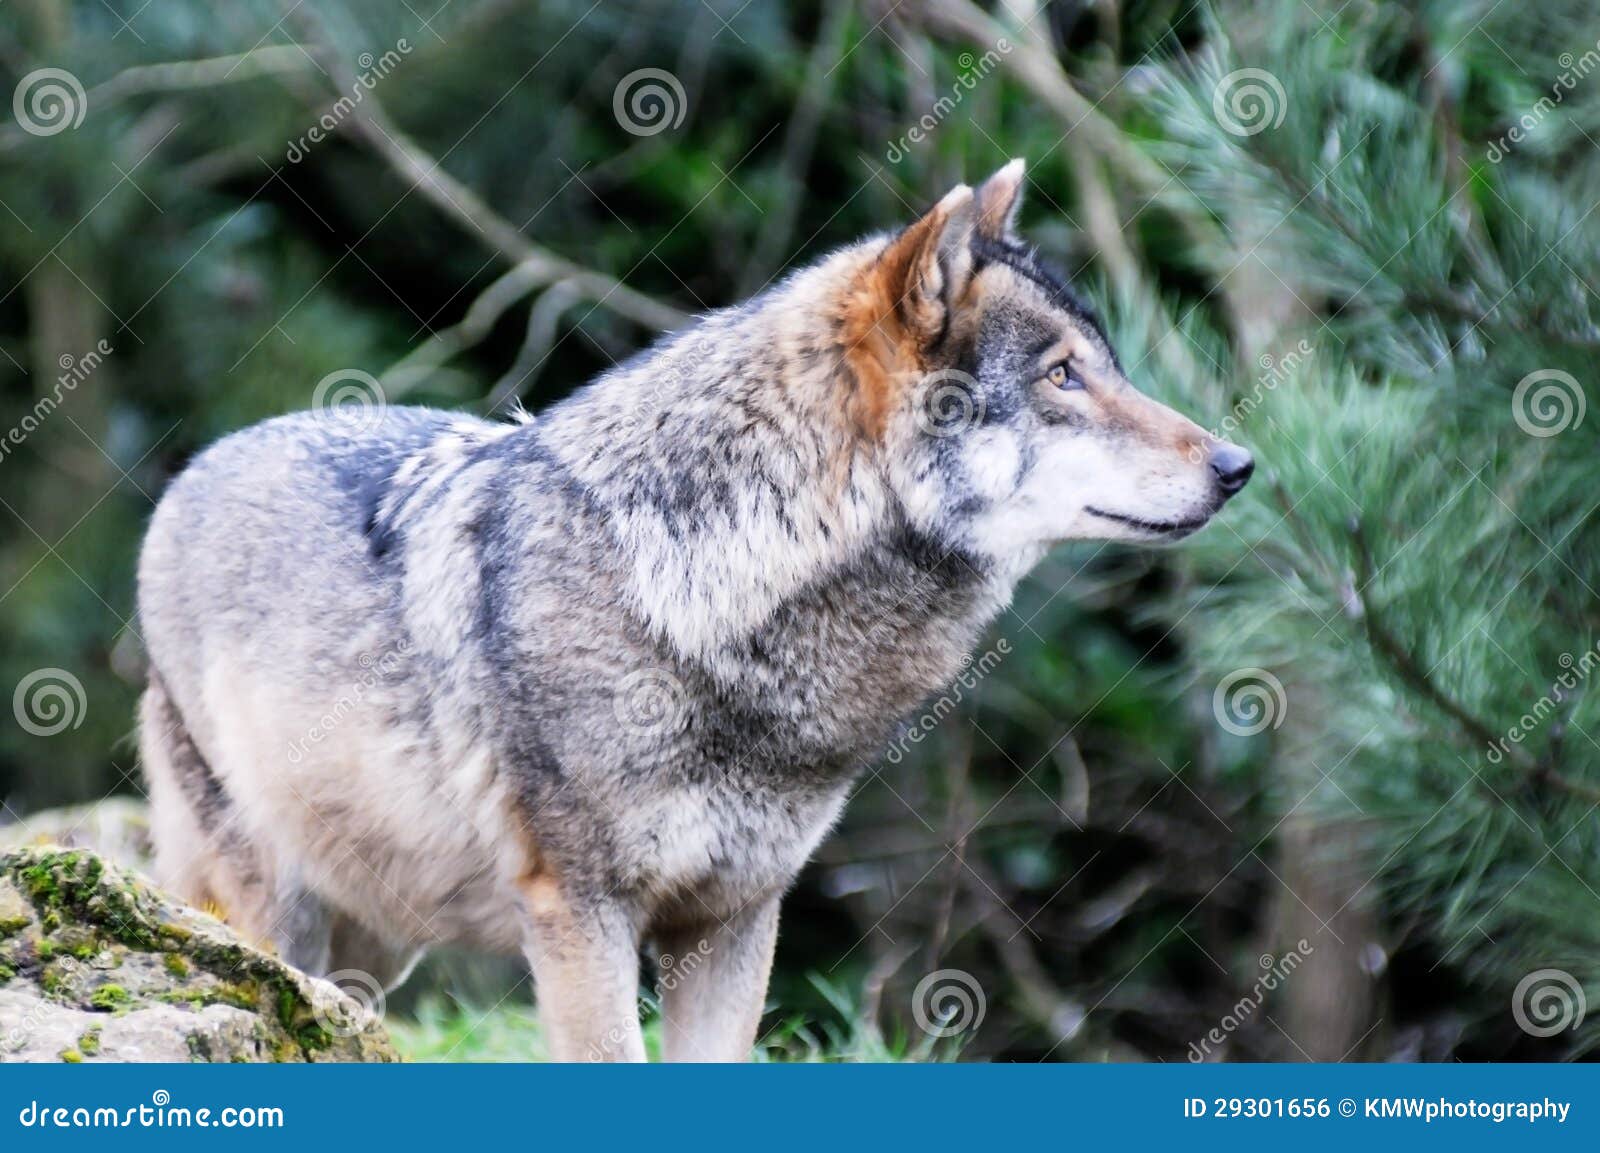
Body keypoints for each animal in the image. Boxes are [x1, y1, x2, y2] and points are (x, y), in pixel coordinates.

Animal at [136, 160, 1252, 1062]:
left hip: (372, 938)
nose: (1239, 464)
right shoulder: (581, 915)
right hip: (276, 910)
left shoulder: (735, 917)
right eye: (1063, 375)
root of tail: (191, 472)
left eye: (1107, 364)